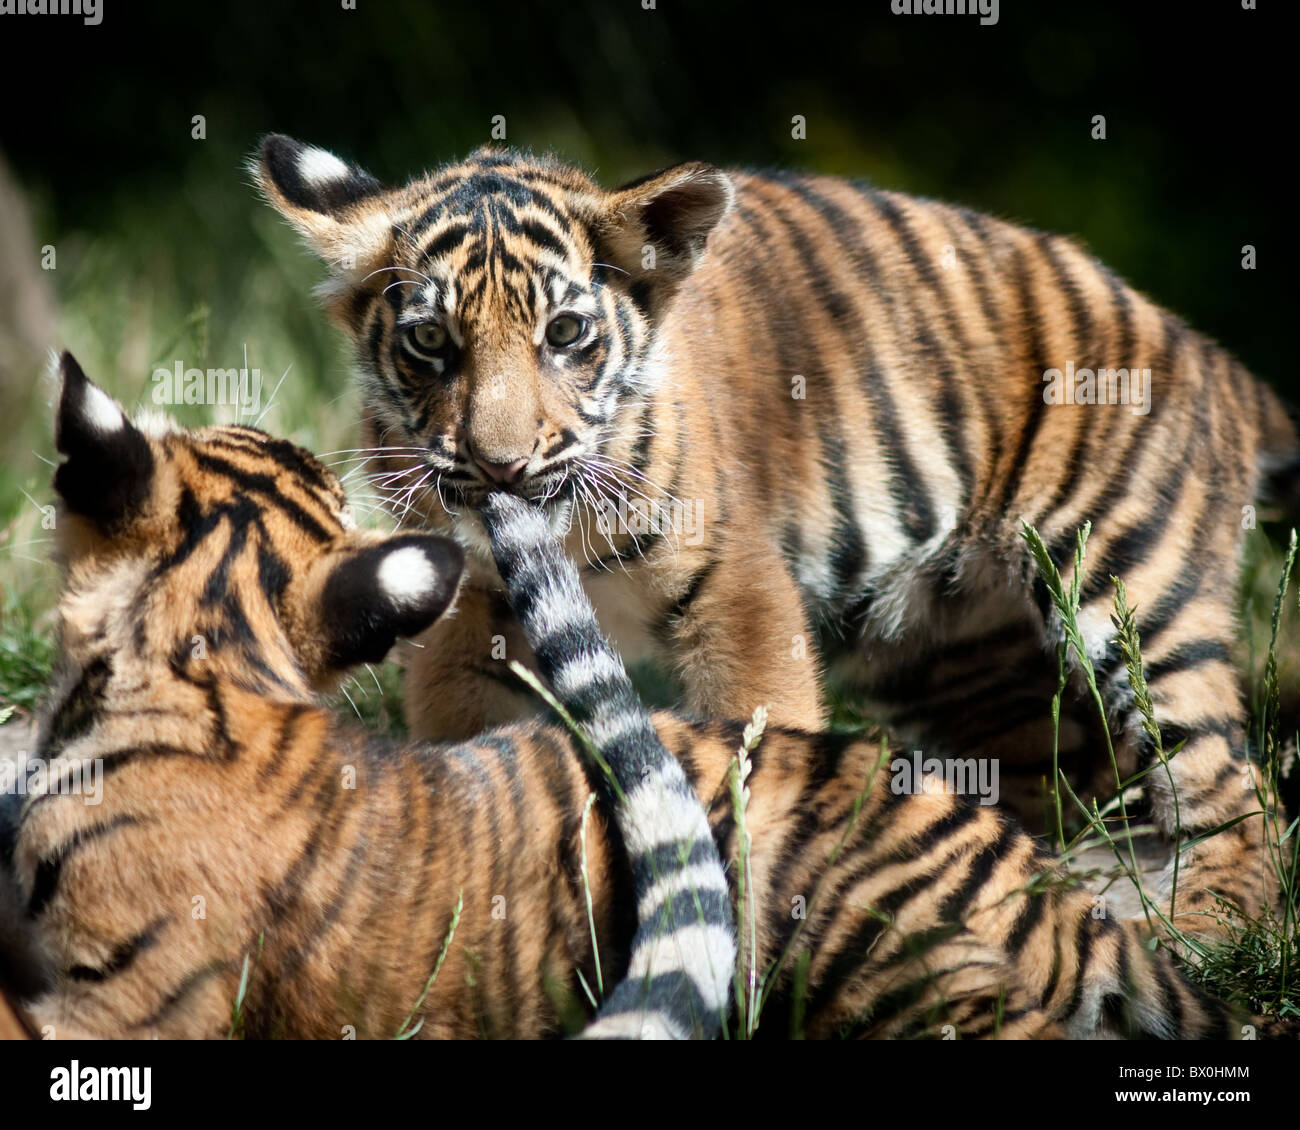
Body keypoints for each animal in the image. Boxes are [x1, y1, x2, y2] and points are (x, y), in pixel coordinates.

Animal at [253, 133, 1297, 938]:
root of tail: (1216, 357)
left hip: (1128, 583)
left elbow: (762, 750)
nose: (501, 467)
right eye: (431, 343)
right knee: (1071, 779)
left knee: (1237, 796)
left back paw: (1192, 938)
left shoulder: (736, 592)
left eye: (566, 334)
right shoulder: (471, 627)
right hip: (954, 660)